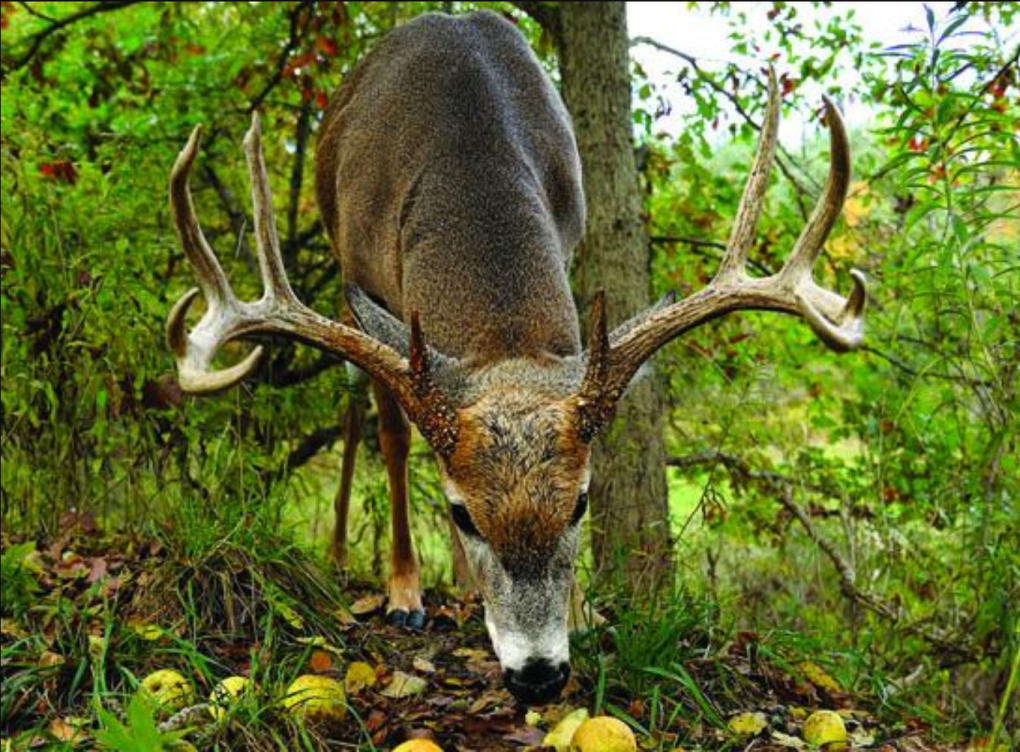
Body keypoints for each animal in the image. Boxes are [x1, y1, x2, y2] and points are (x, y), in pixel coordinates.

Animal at [164, 10, 865, 706]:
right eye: (461, 511)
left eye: (579, 502)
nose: (538, 675)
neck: (472, 158)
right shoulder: (364, 280)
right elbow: (394, 435)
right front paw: (404, 590)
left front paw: (582, 611)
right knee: (362, 413)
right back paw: (355, 558)